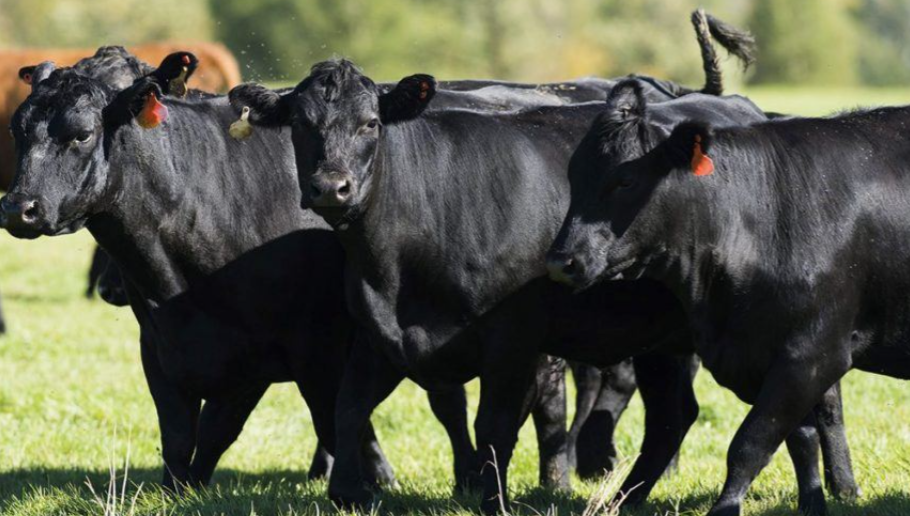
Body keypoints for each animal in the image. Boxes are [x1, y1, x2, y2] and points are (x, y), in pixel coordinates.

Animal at [226, 52, 854, 513]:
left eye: (371, 124)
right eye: (300, 125)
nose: (332, 188)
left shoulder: (512, 340)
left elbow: (494, 425)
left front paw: (491, 499)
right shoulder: (378, 333)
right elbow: (349, 407)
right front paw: (348, 494)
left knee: (817, 402)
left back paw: (839, 489)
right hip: (664, 340)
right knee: (673, 417)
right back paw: (627, 500)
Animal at [541, 80, 910, 515]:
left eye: (626, 180)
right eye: (573, 175)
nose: (560, 261)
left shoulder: (814, 353)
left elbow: (750, 444)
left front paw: (725, 507)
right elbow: (800, 439)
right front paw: (811, 504)